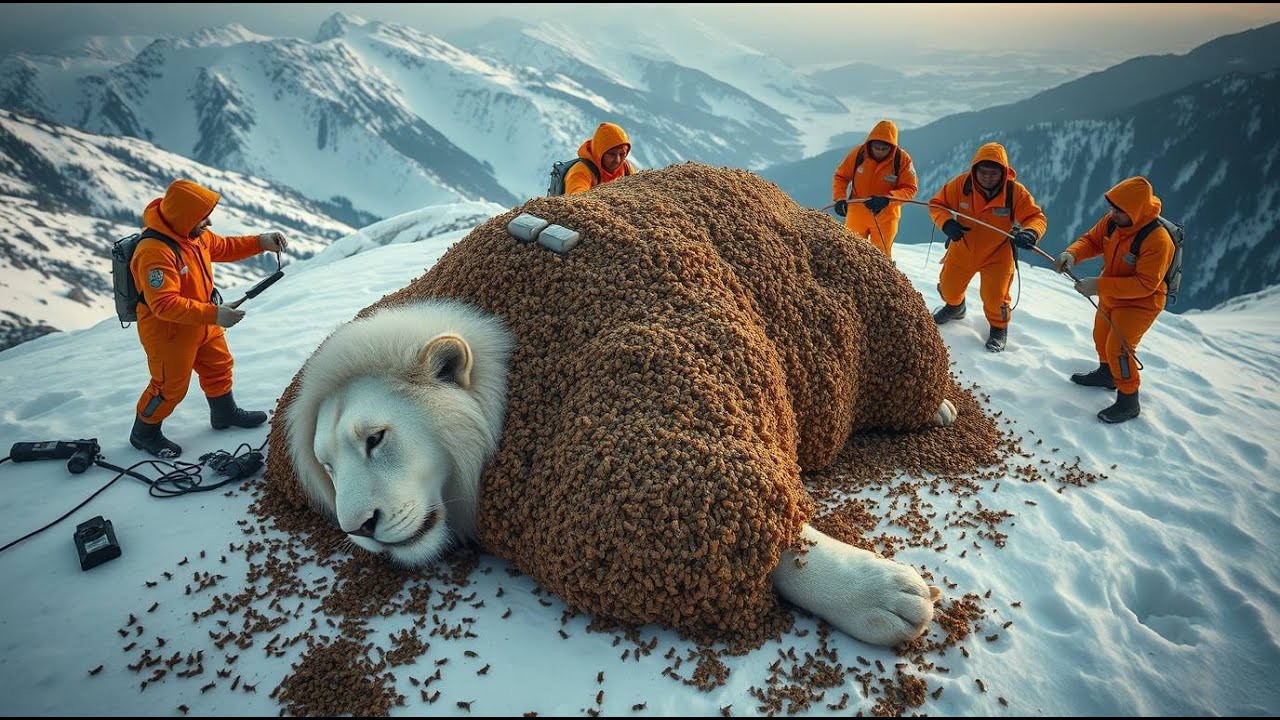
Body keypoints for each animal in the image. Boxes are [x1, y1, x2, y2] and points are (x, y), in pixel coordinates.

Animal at [270, 163, 957, 647]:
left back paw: (942, 409)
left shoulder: (636, 382)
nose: (360, 527)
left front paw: (876, 592)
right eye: (324, 467)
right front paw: (875, 592)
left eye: (377, 438)